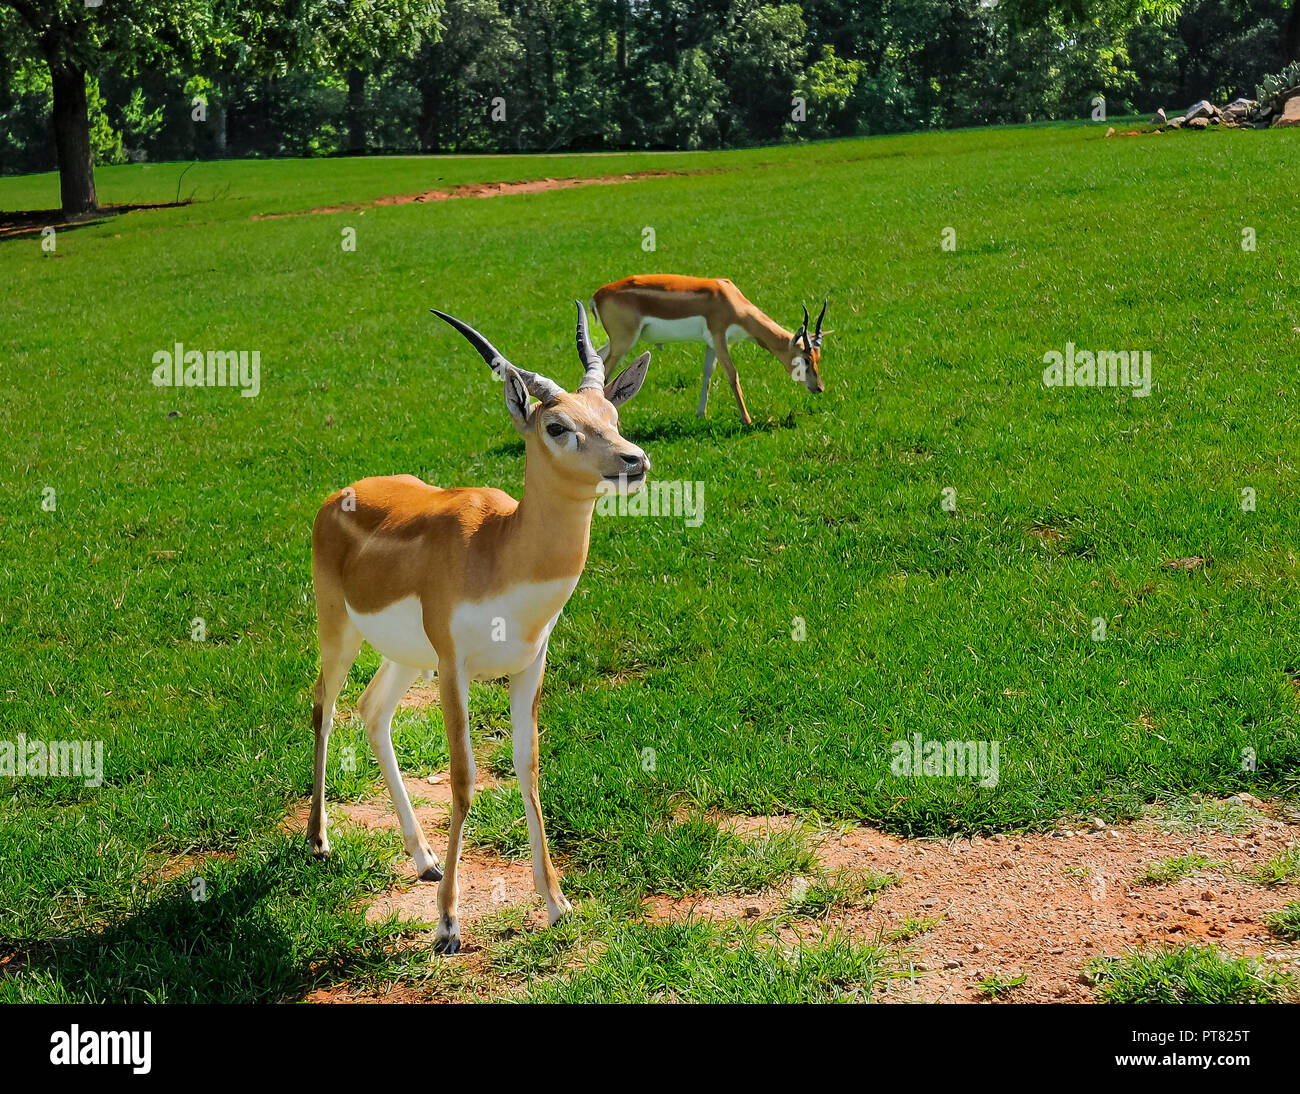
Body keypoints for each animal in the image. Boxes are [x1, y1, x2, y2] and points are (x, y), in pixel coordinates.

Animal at [307, 303, 651, 953]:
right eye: (557, 426)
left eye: (613, 416)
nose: (634, 460)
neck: (500, 550)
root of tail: (340, 495)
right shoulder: (455, 665)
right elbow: (464, 778)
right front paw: (447, 924)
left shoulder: (530, 664)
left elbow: (528, 764)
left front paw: (558, 903)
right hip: (339, 628)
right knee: (324, 705)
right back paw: (319, 841)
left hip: (405, 657)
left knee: (372, 711)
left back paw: (422, 860)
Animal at [591, 274, 829, 426]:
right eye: (805, 359)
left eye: (818, 358)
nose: (819, 388)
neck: (730, 299)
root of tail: (596, 296)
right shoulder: (719, 337)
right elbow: (732, 375)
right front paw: (747, 420)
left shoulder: (711, 344)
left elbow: (707, 374)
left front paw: (701, 415)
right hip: (624, 342)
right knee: (605, 376)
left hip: (616, 343)